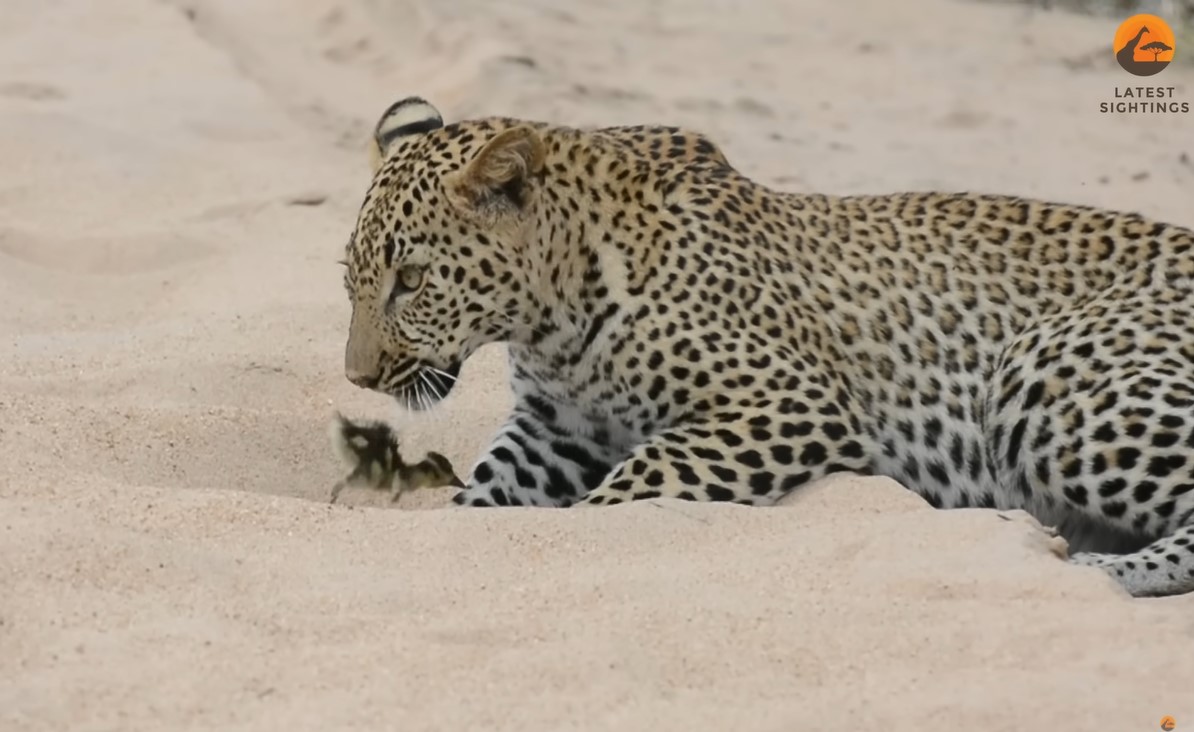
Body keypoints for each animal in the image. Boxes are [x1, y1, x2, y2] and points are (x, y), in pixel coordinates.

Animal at [339, 95, 1194, 598]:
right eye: (353, 278)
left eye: (412, 279)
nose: (360, 376)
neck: (551, 314)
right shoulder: (556, 430)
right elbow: (481, 502)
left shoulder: (786, 402)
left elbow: (628, 492)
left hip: (1044, 375)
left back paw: (1092, 566)